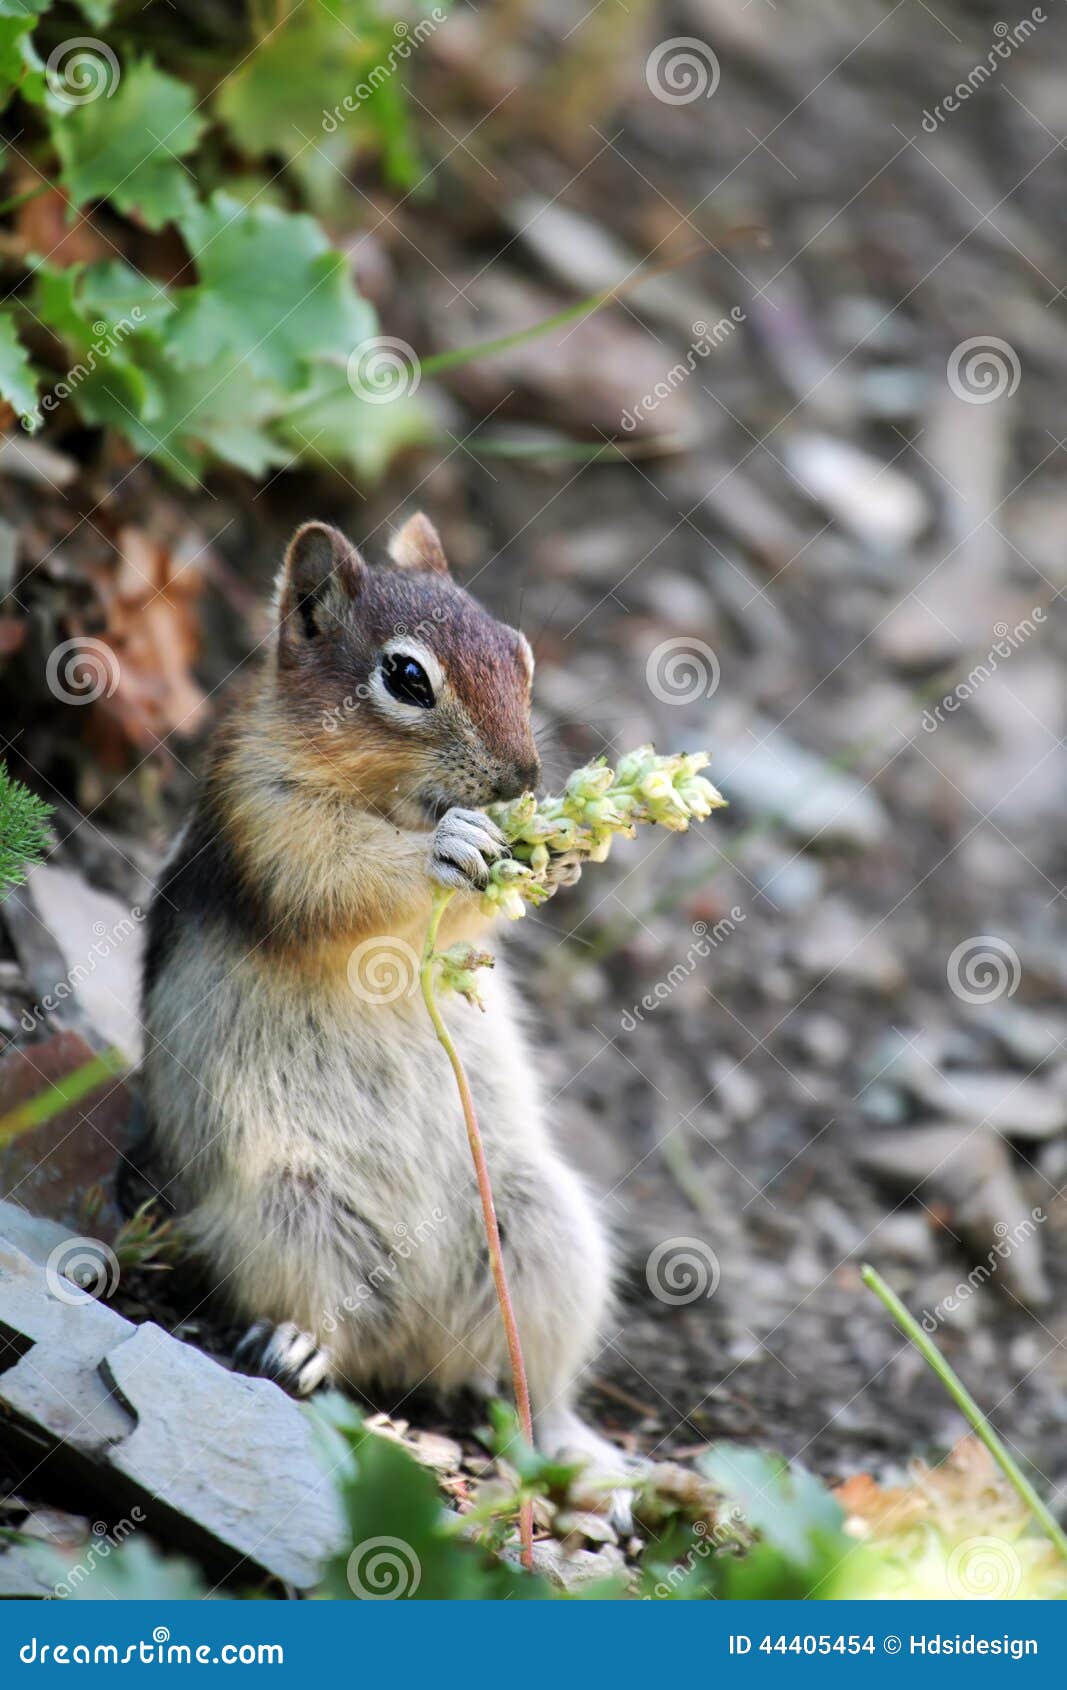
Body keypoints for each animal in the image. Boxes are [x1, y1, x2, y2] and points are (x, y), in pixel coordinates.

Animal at [138, 513, 628, 1503]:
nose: (522, 781)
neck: (392, 802)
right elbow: (338, 874)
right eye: (406, 679)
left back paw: (582, 1451)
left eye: (520, 654)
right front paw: (450, 846)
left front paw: (557, 853)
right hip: (287, 1213)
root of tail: (416, 1352)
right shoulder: (263, 817)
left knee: (535, 1386)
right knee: (330, 1321)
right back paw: (299, 1343)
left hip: (545, 1233)